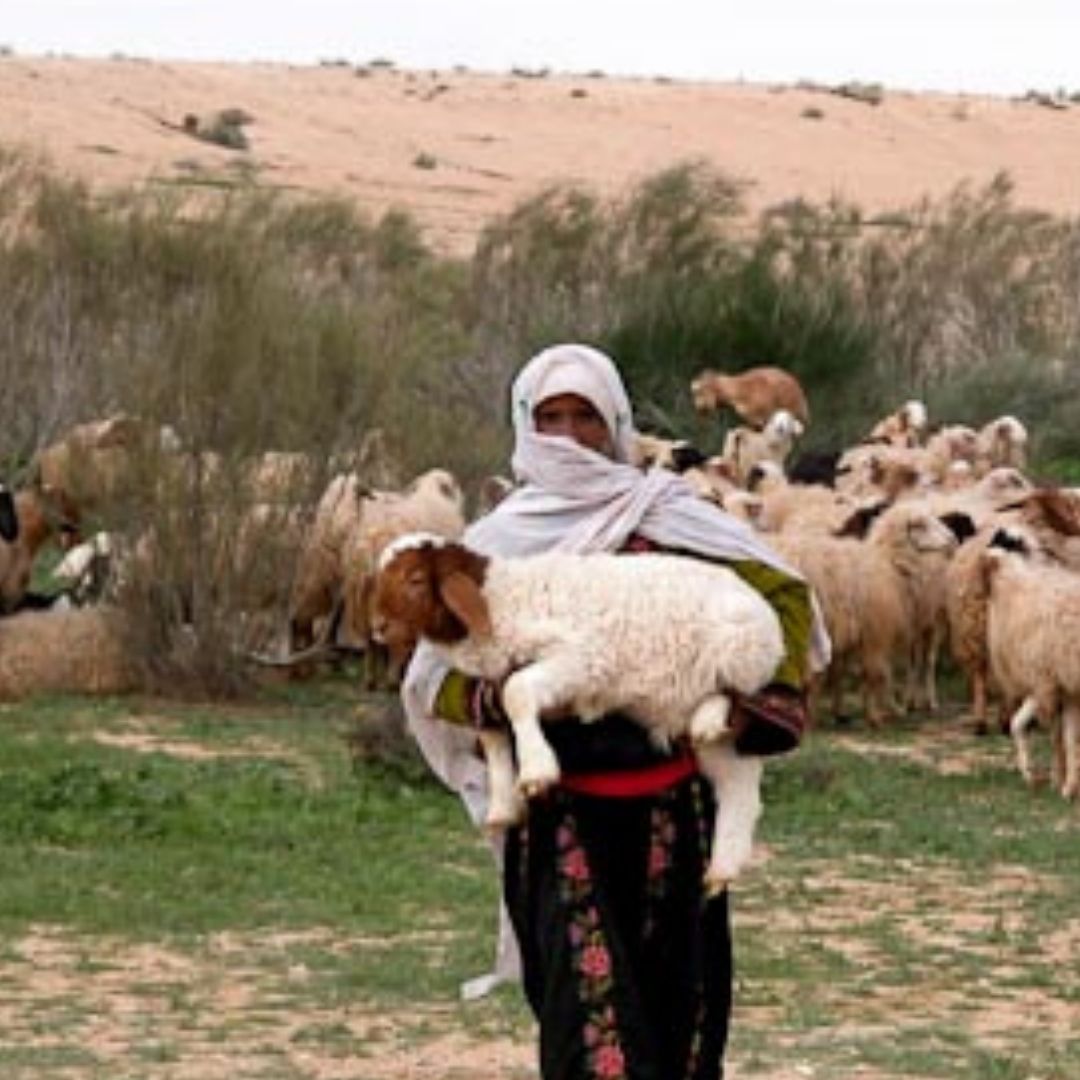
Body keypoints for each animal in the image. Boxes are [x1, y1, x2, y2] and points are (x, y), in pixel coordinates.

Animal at [372, 535, 785, 892]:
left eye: (415, 578)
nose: (377, 627)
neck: (498, 599)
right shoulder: (491, 683)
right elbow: (491, 734)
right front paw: (503, 805)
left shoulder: (581, 659)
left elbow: (516, 693)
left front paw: (536, 771)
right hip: (710, 730)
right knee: (739, 786)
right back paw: (722, 867)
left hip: (737, 653)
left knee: (733, 694)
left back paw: (710, 716)